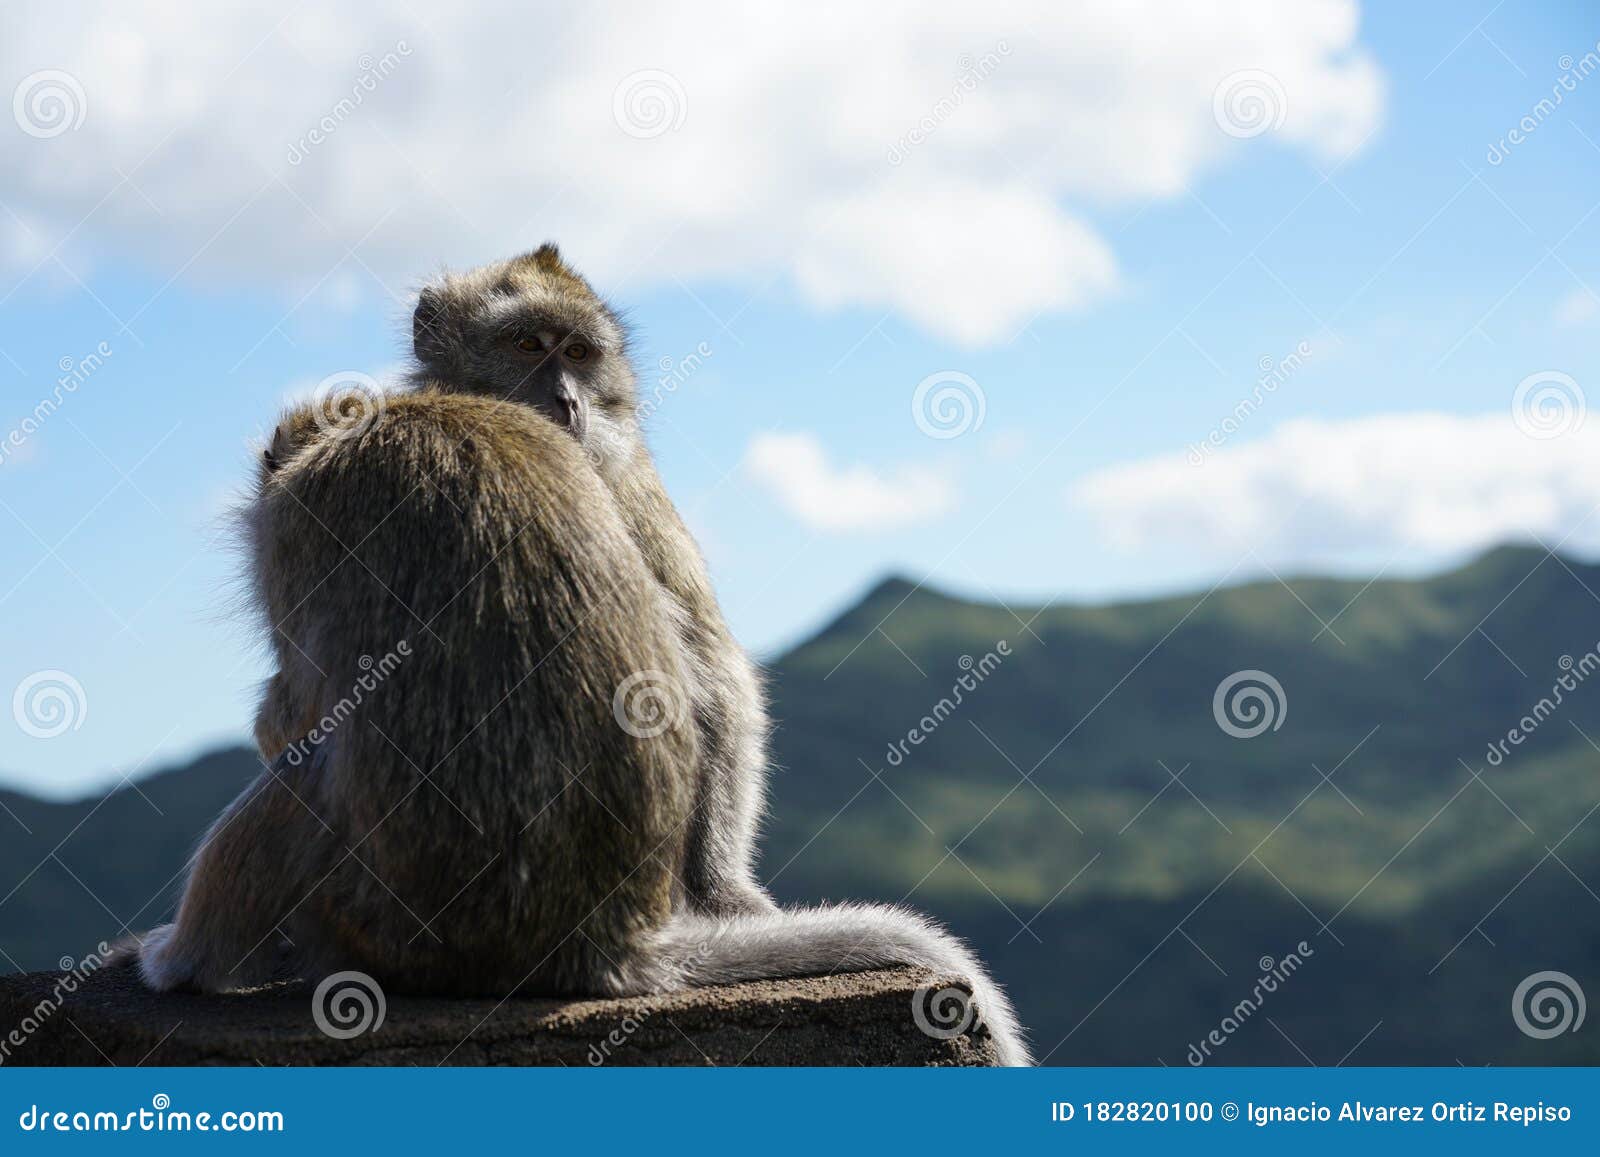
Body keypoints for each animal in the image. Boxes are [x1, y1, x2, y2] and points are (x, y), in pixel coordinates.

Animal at [137, 388, 1031, 1065]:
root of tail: (602, 942)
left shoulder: (294, 534)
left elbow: (299, 706)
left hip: (378, 921)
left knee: (303, 785)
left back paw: (180, 962)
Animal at [407, 245, 772, 919]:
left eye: (578, 353)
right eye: (527, 344)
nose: (568, 402)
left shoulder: (630, 483)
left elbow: (715, 670)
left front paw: (722, 888)